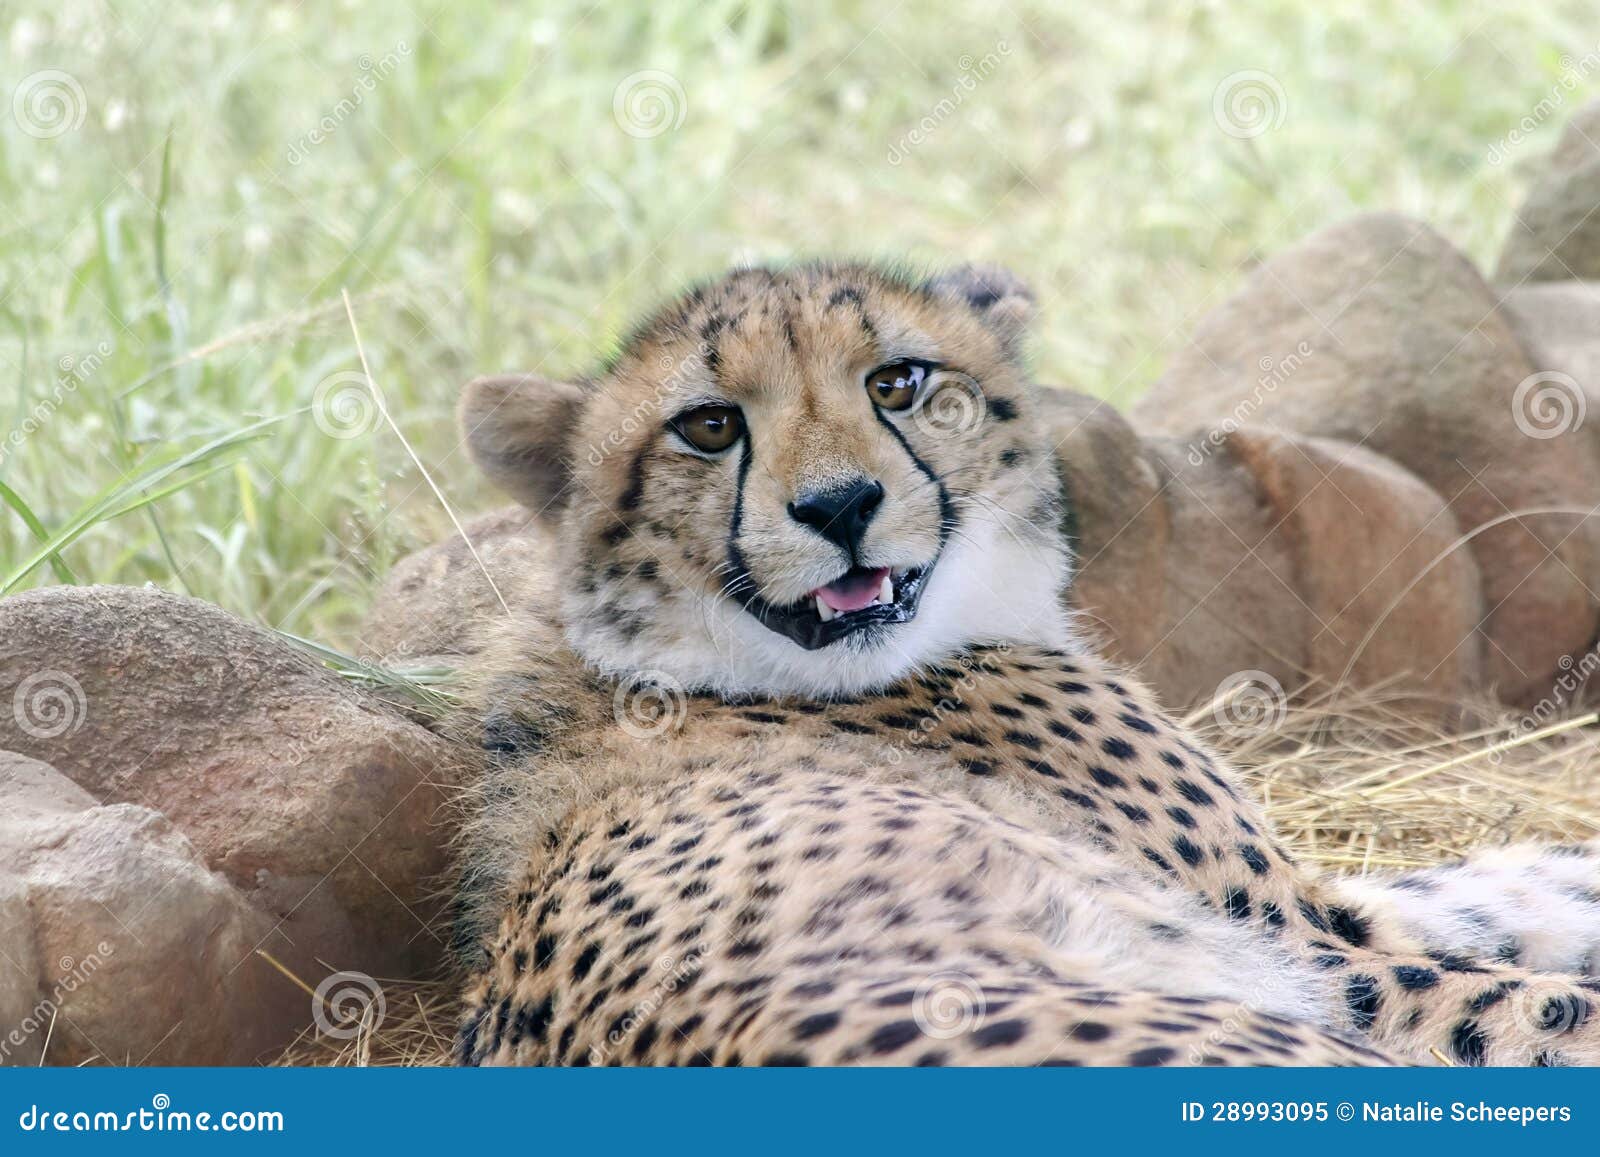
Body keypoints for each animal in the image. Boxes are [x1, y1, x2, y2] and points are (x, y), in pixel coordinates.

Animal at [450, 260, 1600, 1067]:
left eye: (898, 380)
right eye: (708, 424)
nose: (839, 505)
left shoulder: (1312, 912)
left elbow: (1504, 882)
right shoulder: (1303, 936)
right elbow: (1515, 965)